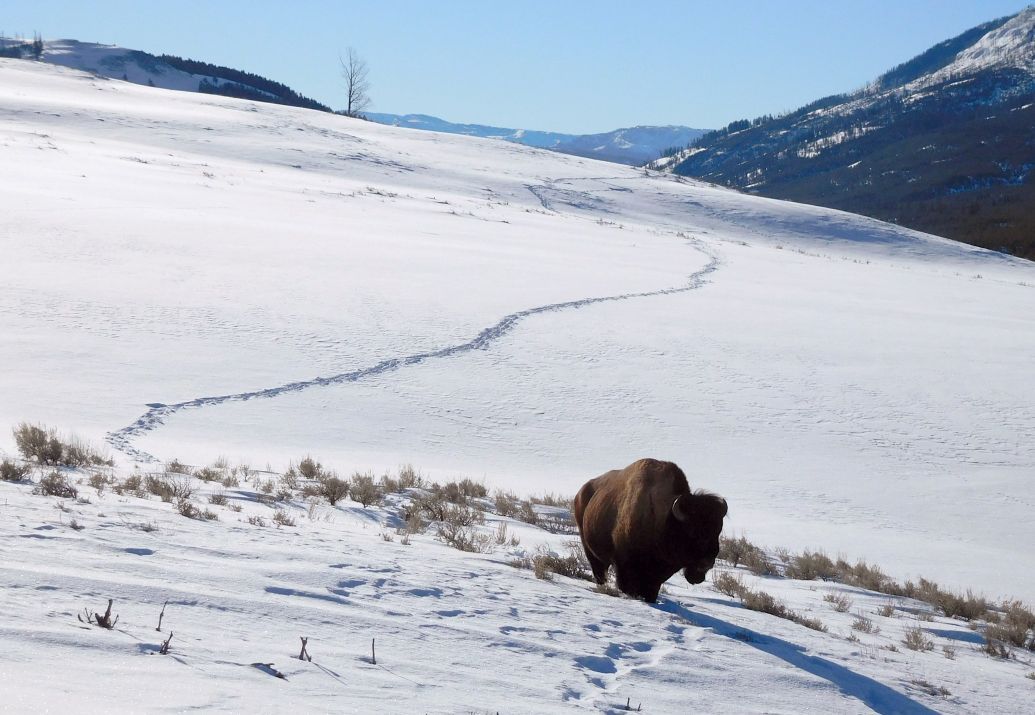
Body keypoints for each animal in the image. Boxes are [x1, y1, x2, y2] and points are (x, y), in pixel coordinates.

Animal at [573, 458, 727, 602]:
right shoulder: (624, 564)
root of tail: (580, 494)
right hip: (589, 547)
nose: (708, 562)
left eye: (718, 531)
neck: (665, 517)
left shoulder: (656, 576)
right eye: (694, 532)